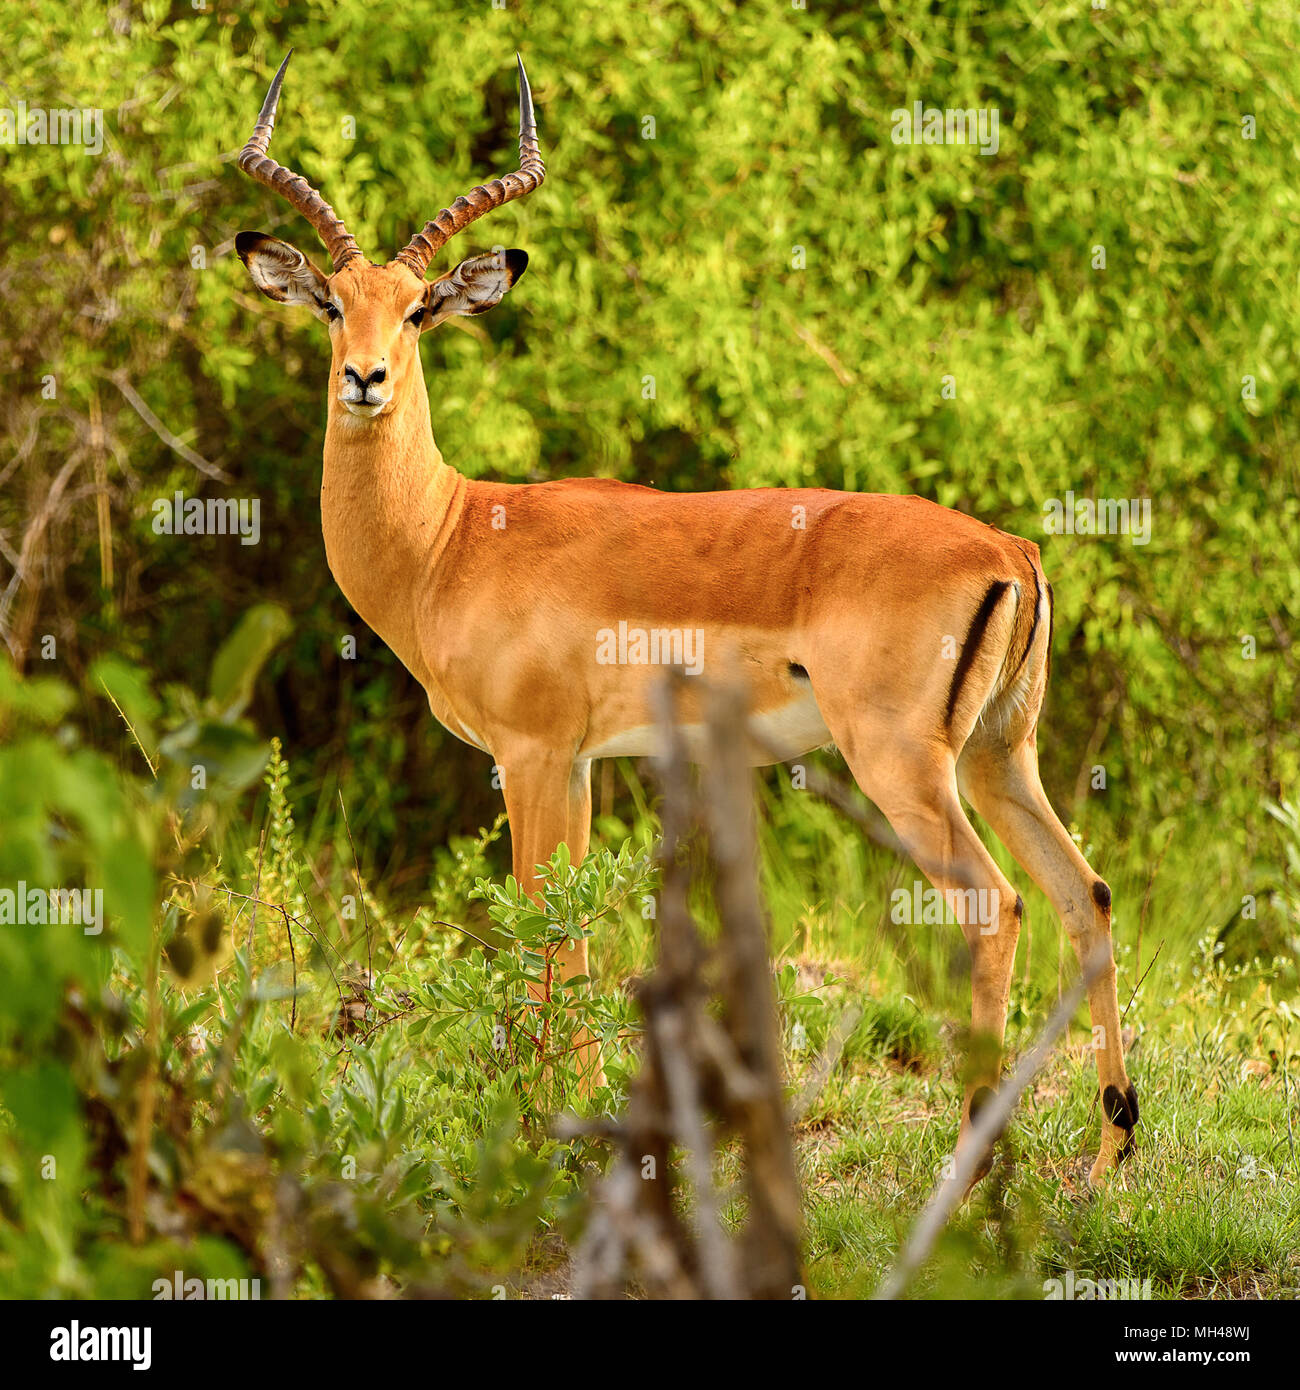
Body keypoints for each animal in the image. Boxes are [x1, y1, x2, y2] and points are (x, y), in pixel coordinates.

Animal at [234, 53, 1138, 1184]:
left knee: (993, 901)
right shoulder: (577, 763)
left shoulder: (532, 754)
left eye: (417, 311)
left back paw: (970, 1160)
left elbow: (544, 928)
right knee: (1083, 893)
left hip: (902, 764)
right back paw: (1108, 1155)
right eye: (331, 305)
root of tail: (1011, 553)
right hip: (998, 757)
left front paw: (549, 1128)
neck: (451, 538)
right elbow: (570, 930)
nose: (365, 378)